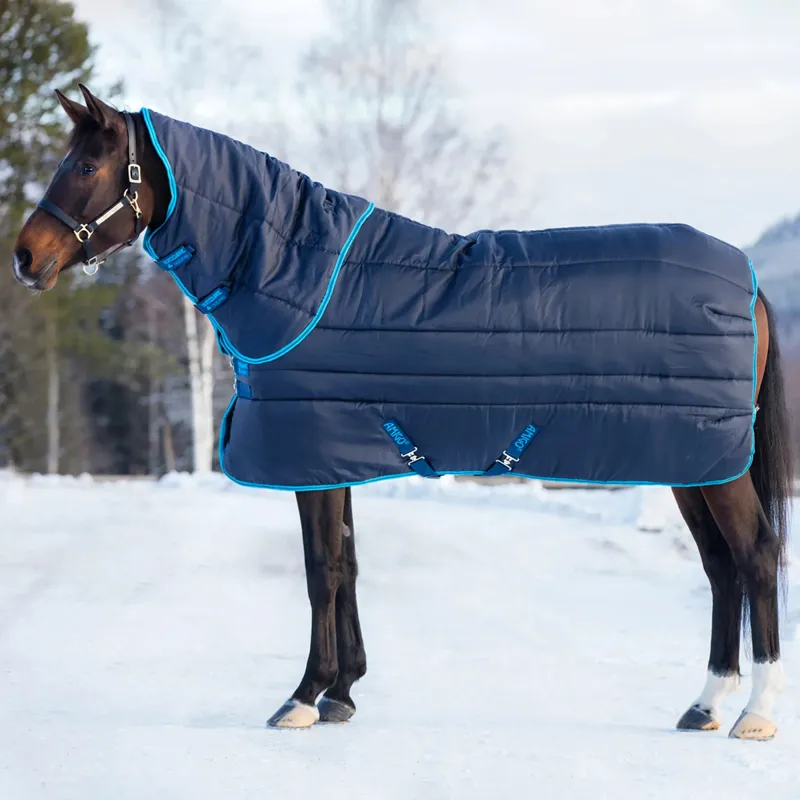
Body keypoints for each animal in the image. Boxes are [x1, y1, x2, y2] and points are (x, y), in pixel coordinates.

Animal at [12, 85, 792, 739]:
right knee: (720, 566)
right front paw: (343, 693)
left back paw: (755, 713)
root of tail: (750, 283)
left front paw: (304, 696)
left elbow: (321, 569)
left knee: (755, 555)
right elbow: (349, 564)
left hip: (717, 467)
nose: (23, 257)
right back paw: (704, 705)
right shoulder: (336, 454)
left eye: (87, 164)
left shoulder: (312, 454)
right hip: (694, 462)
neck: (298, 276)